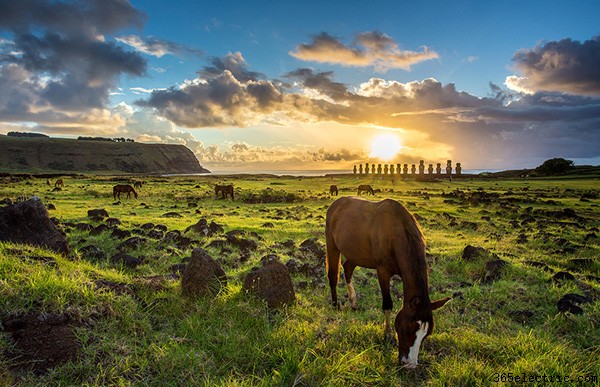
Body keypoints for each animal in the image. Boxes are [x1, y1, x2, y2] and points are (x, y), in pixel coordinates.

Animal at [326, 197, 448, 370]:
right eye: (408, 328)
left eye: (427, 333)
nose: (409, 365)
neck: (397, 233)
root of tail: (336, 204)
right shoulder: (383, 271)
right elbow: (388, 304)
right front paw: (388, 335)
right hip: (332, 245)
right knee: (333, 275)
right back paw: (335, 304)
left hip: (357, 254)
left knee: (348, 268)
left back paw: (354, 303)